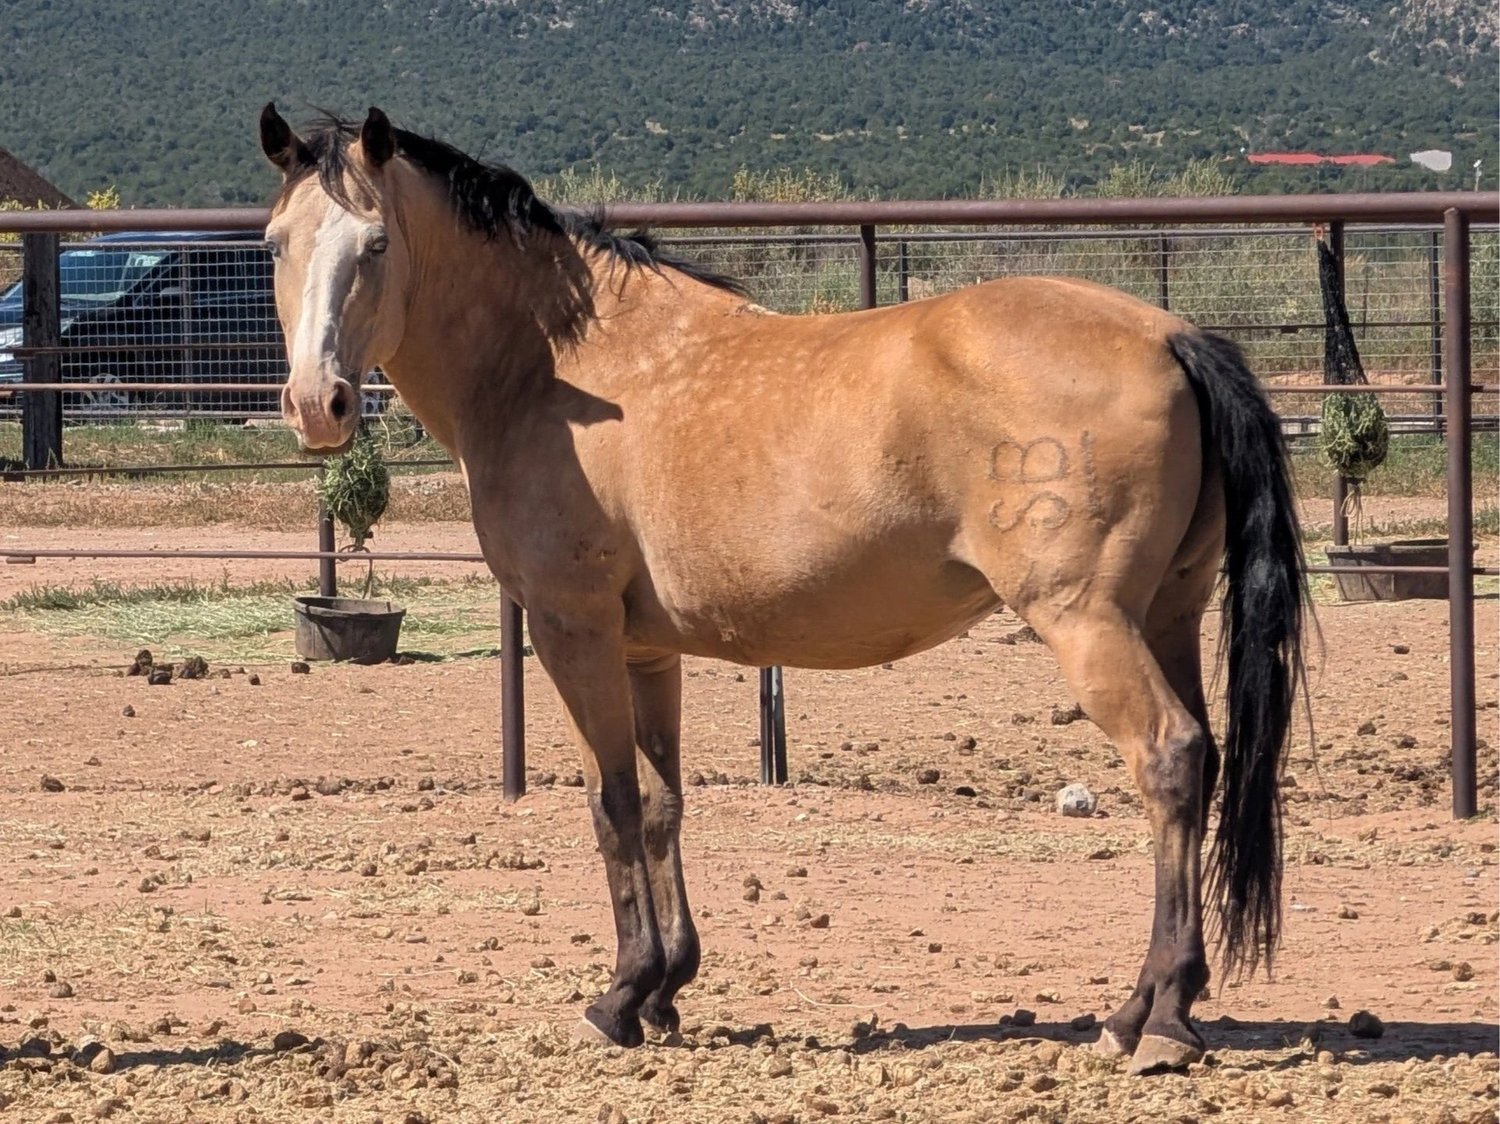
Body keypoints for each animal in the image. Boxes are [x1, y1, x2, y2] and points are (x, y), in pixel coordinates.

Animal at [258, 104, 1306, 1075]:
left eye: (377, 242)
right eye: (275, 242)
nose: (319, 404)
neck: (558, 371)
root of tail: (1172, 334)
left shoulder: (572, 630)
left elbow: (612, 803)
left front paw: (618, 997)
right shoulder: (647, 649)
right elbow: (663, 801)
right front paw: (667, 988)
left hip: (1087, 622)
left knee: (1169, 759)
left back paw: (1155, 1019)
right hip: (1168, 612)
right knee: (1207, 757)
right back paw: (1151, 1009)